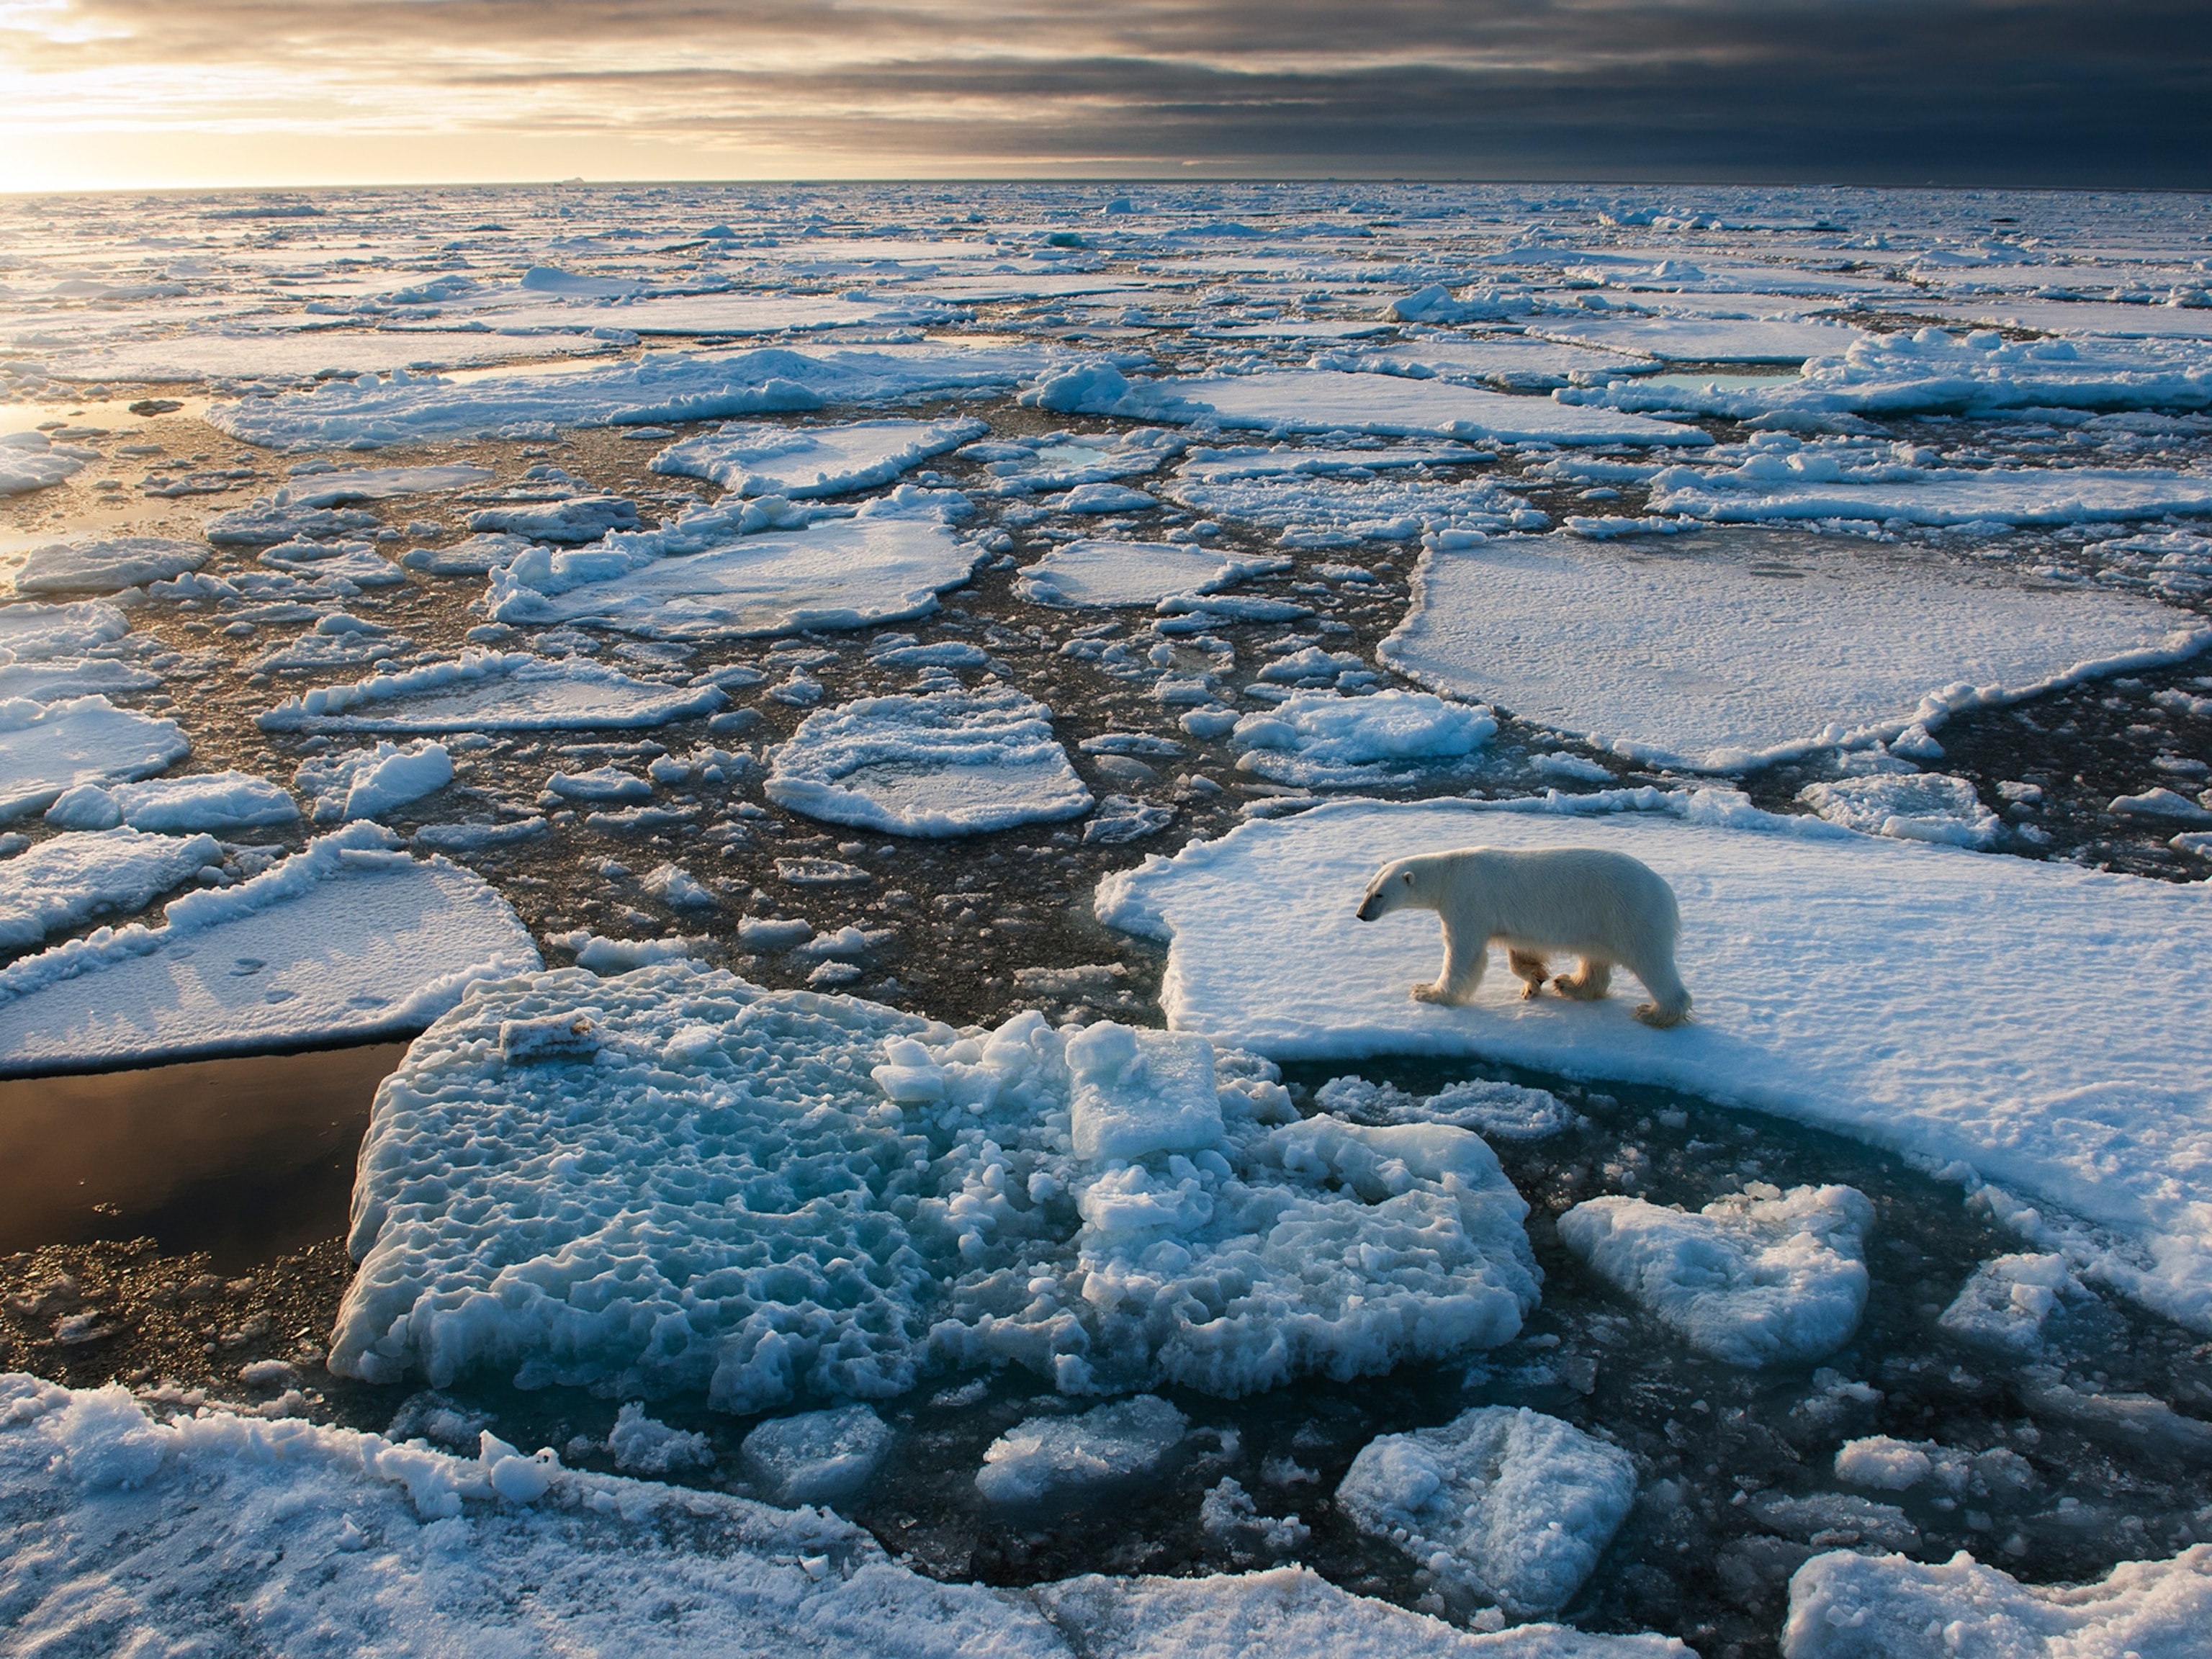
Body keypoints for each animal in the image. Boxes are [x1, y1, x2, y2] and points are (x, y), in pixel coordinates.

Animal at [1354, 845, 1692, 1028]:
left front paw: (1428, 992)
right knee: (1595, 959)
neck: (1449, 874)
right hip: (1601, 921)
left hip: (1631, 914)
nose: (1360, 914)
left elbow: (1463, 954)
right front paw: (1534, 981)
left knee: (1651, 962)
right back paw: (1570, 984)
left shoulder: (1467, 903)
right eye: (1367, 889)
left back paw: (1654, 1013)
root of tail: (1666, 891)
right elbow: (1520, 951)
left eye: (1380, 894)